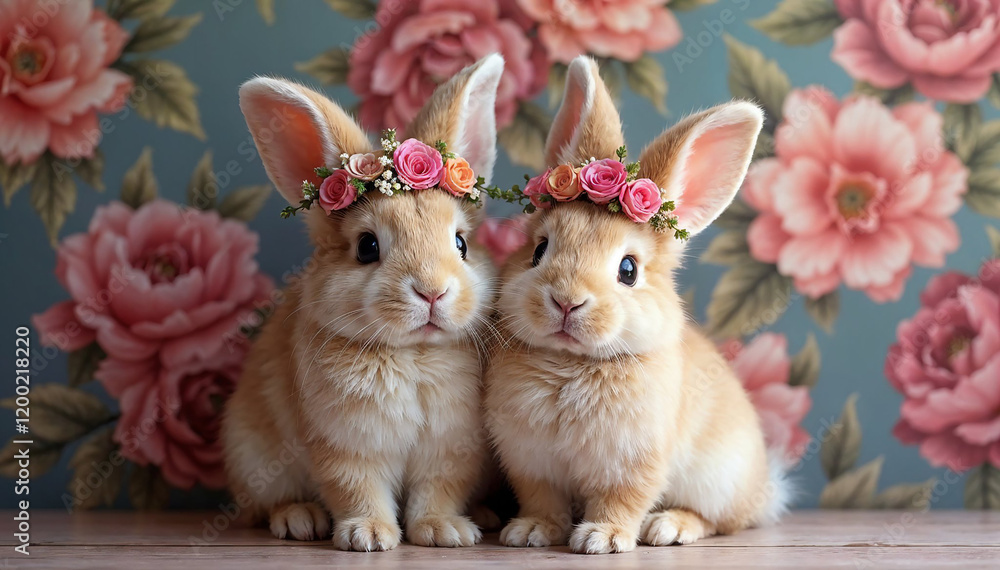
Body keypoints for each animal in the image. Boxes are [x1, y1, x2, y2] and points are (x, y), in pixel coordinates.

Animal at [221, 54, 505, 551]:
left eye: (462, 244)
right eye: (367, 247)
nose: (432, 291)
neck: (413, 354)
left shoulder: (451, 448)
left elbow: (439, 489)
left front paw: (443, 531)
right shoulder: (345, 446)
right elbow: (356, 487)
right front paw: (368, 536)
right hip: (252, 453)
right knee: (264, 505)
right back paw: (299, 519)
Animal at [483, 56, 791, 555]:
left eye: (628, 270)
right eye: (539, 250)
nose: (566, 301)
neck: (572, 363)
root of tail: (765, 492)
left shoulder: (635, 464)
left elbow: (623, 500)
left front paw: (601, 539)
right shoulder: (531, 463)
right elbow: (542, 500)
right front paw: (529, 533)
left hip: (717, 480)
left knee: (719, 521)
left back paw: (670, 527)